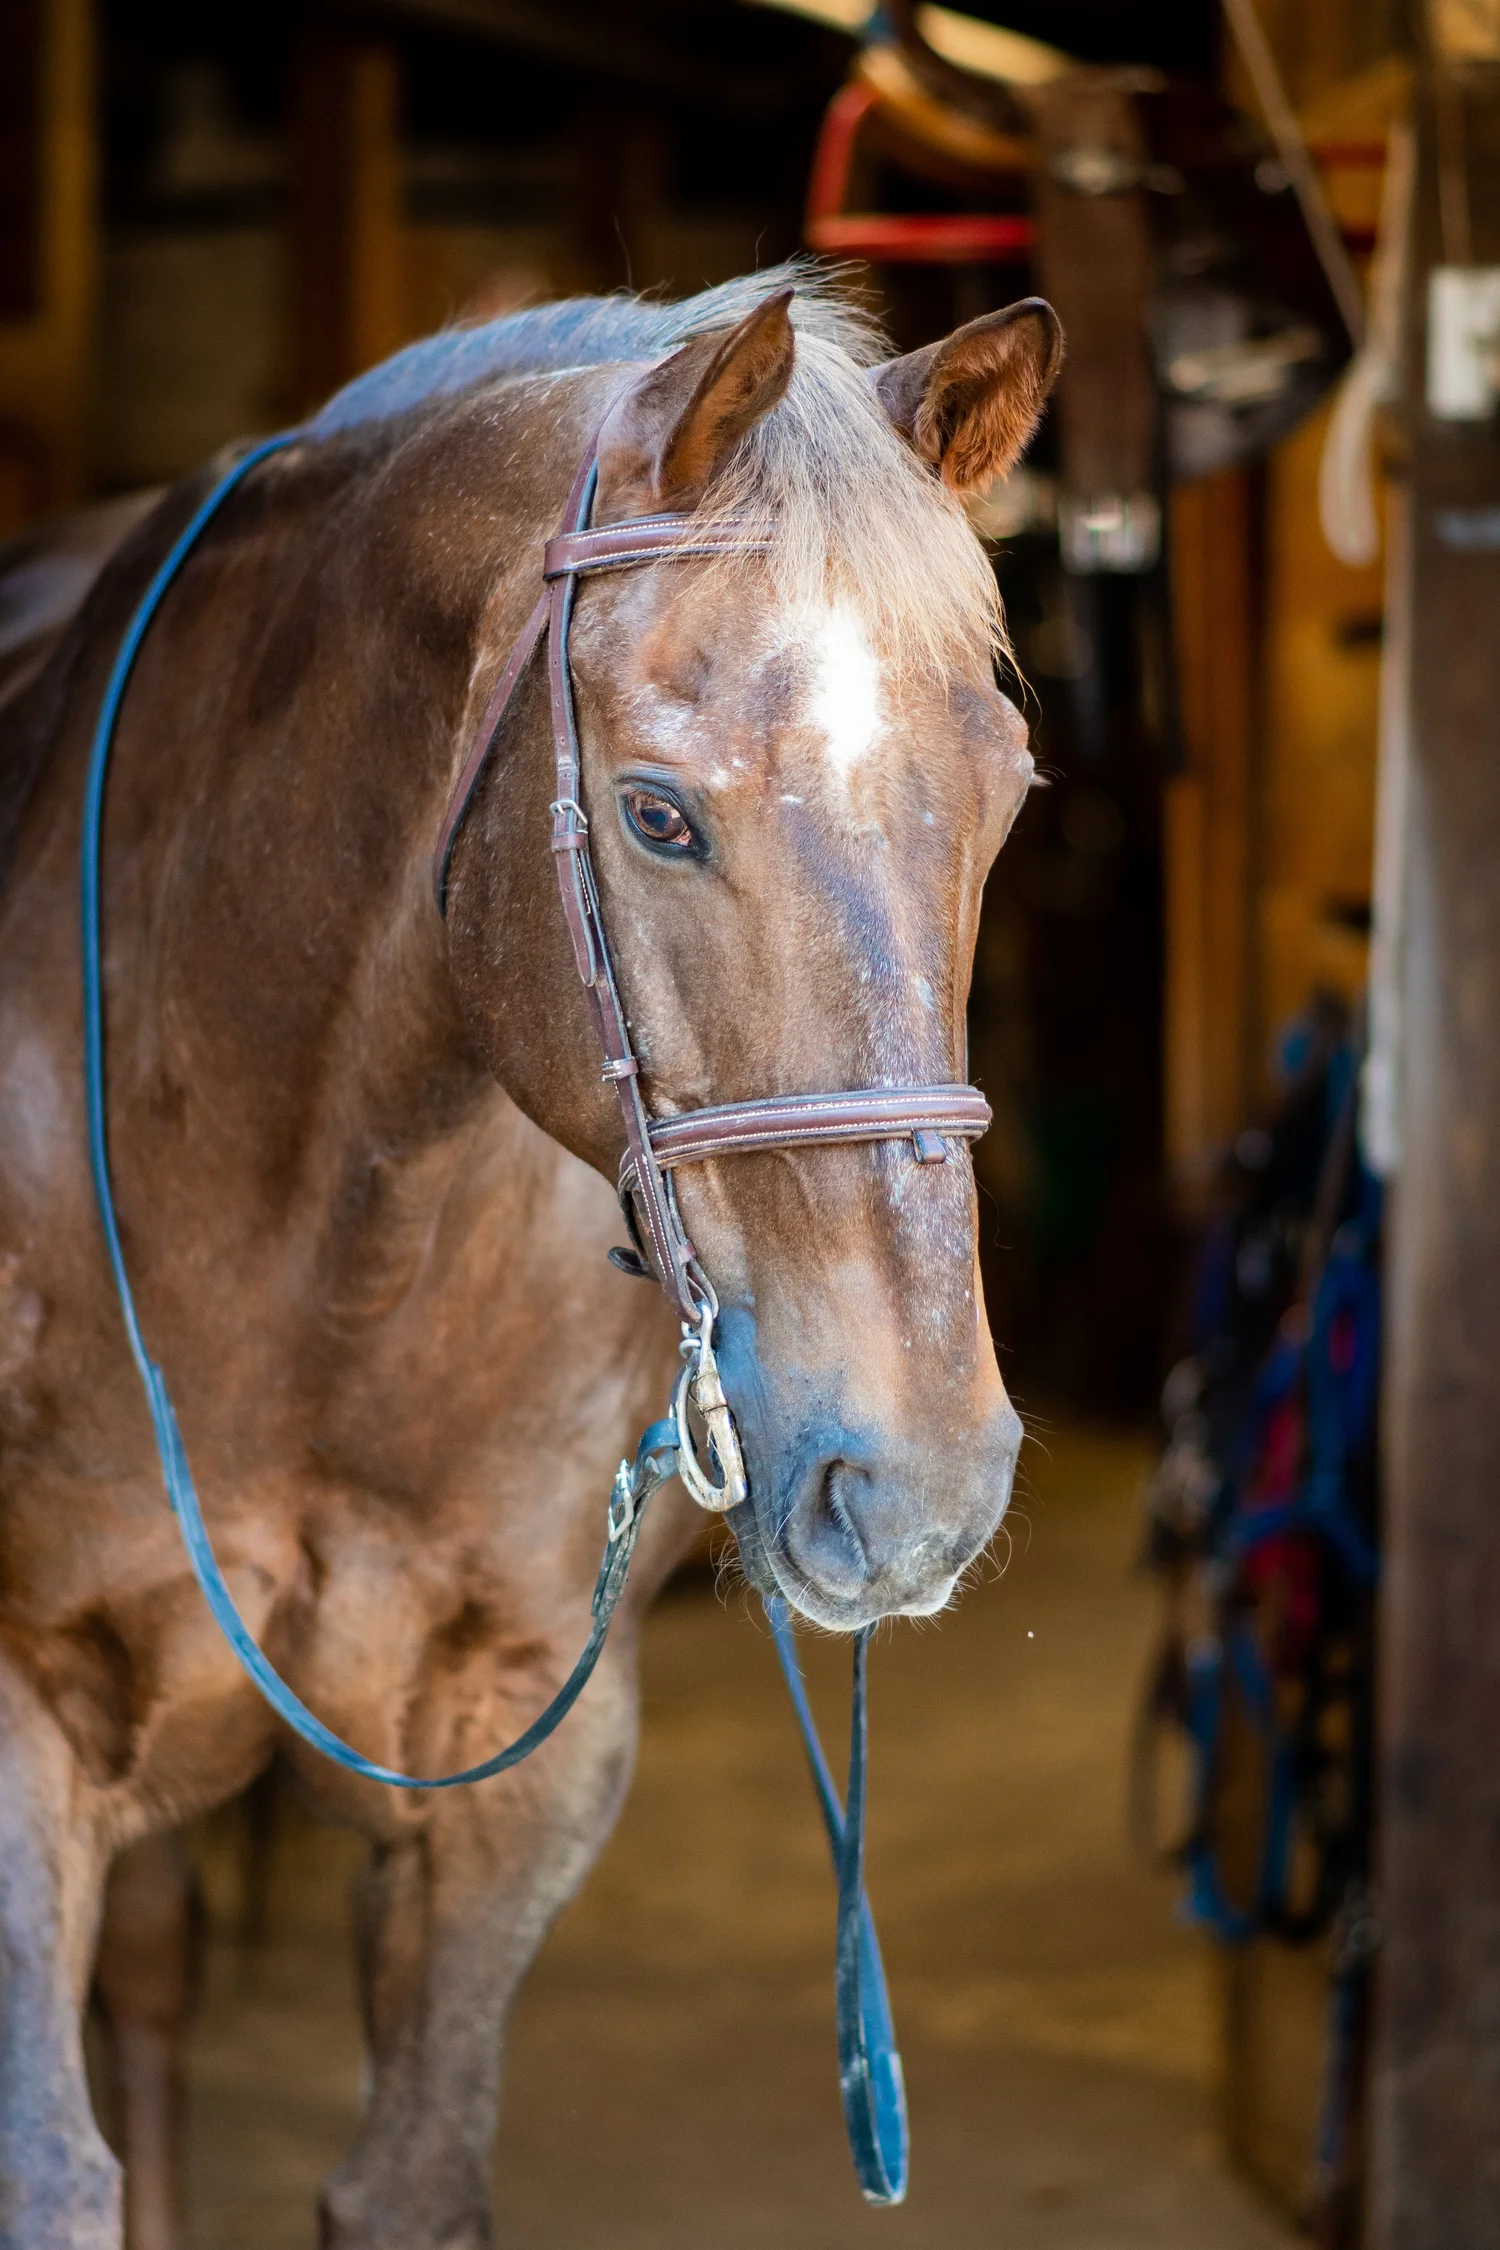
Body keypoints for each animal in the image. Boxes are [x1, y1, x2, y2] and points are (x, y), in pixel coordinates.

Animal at [0, 265, 1057, 2250]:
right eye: (654, 813)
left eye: (1010, 793)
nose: (919, 1490)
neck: (312, 1243)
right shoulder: (27, 1722)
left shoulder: (522, 1774)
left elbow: (411, 2179)